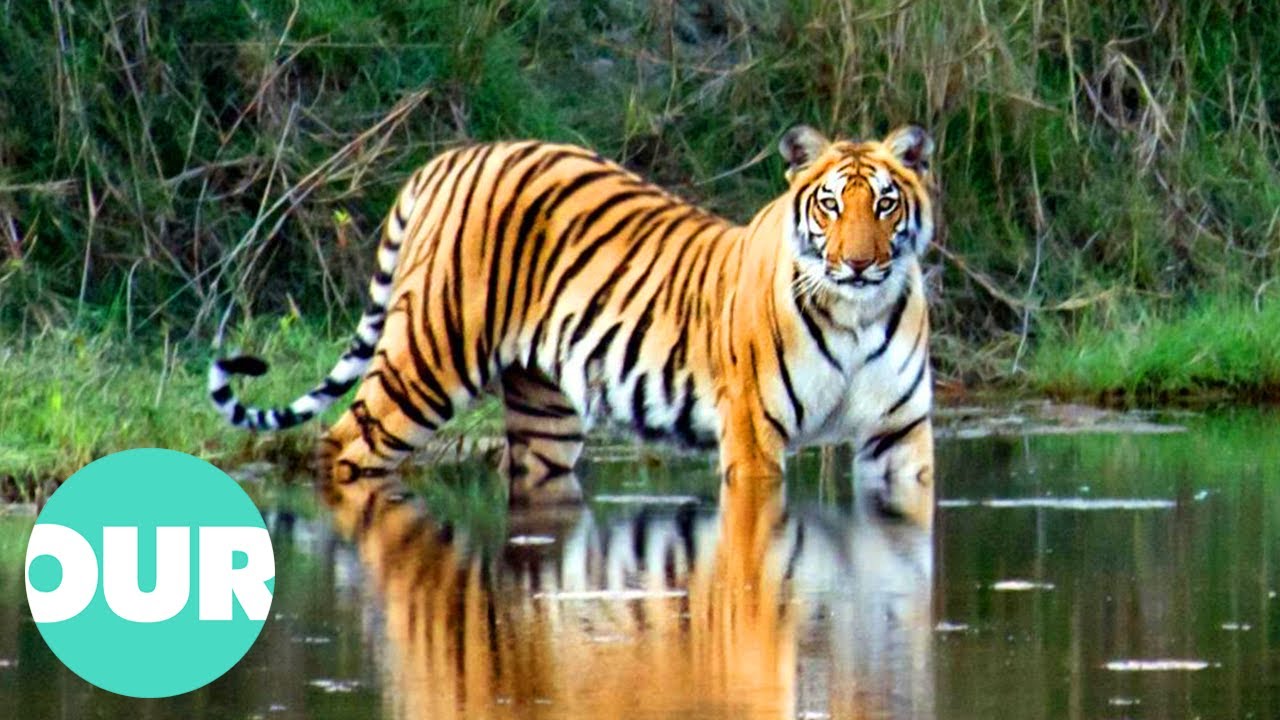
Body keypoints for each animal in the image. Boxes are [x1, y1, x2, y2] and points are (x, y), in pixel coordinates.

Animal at [209, 124, 937, 522]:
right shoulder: (754, 434)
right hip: (425, 363)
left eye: (885, 204)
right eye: (830, 205)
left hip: (544, 413)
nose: (859, 263)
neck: (859, 314)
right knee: (340, 446)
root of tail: (446, 160)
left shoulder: (899, 435)